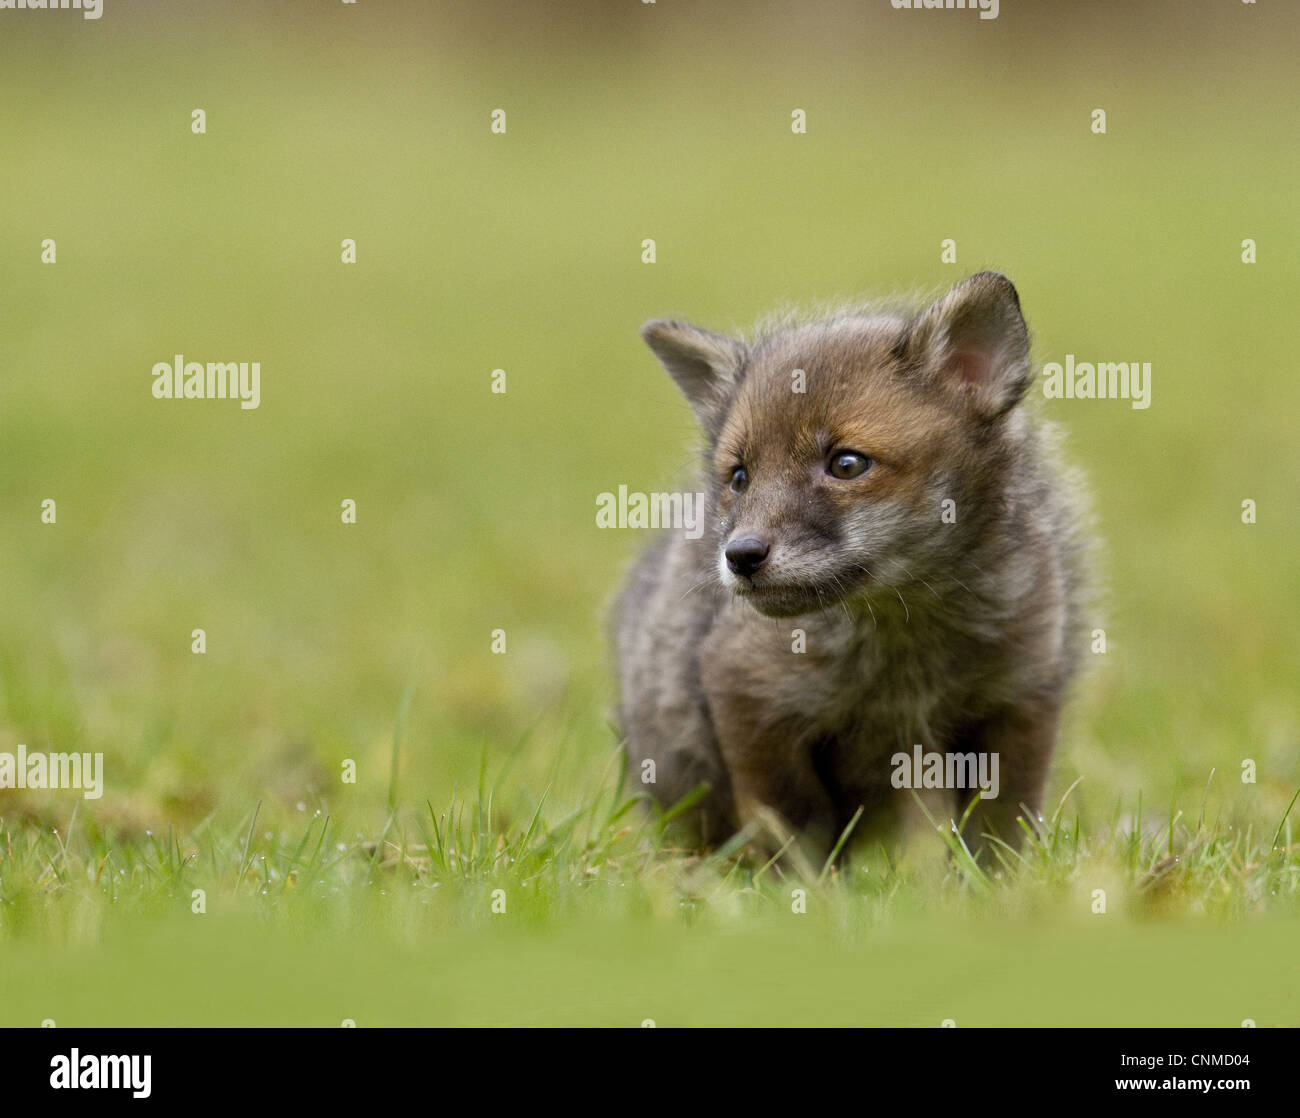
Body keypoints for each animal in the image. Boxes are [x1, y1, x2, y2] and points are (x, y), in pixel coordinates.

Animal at [614, 272, 1091, 862]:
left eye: (846, 464)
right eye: (740, 477)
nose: (741, 556)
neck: (904, 642)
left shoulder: (1021, 698)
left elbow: (1000, 832)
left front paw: (998, 884)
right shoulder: (748, 696)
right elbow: (795, 828)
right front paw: (806, 888)